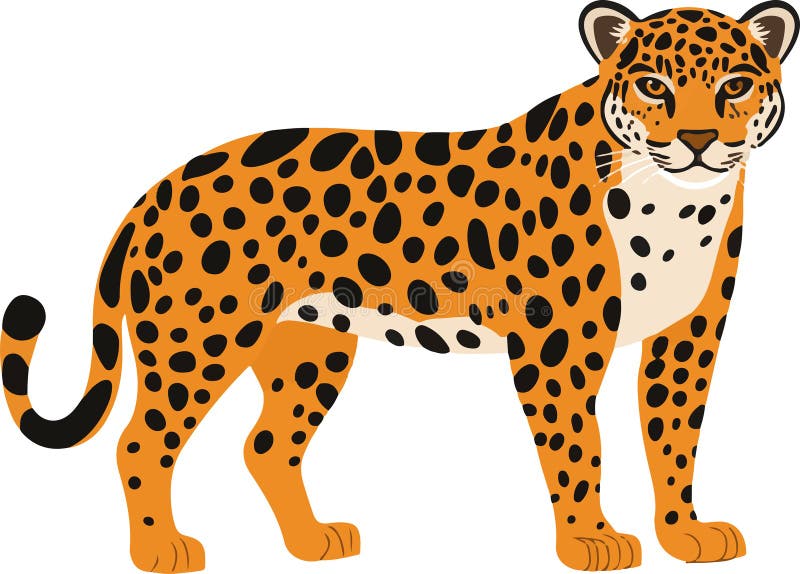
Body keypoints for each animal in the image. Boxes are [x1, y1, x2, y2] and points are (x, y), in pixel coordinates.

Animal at [2, 1, 797, 571]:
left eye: (734, 84)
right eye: (655, 85)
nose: (699, 140)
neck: (679, 207)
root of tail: (156, 187)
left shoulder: (688, 340)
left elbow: (675, 438)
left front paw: (686, 534)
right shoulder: (557, 347)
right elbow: (578, 447)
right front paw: (592, 541)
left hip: (311, 349)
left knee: (266, 445)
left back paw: (313, 541)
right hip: (199, 338)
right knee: (140, 442)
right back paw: (160, 551)